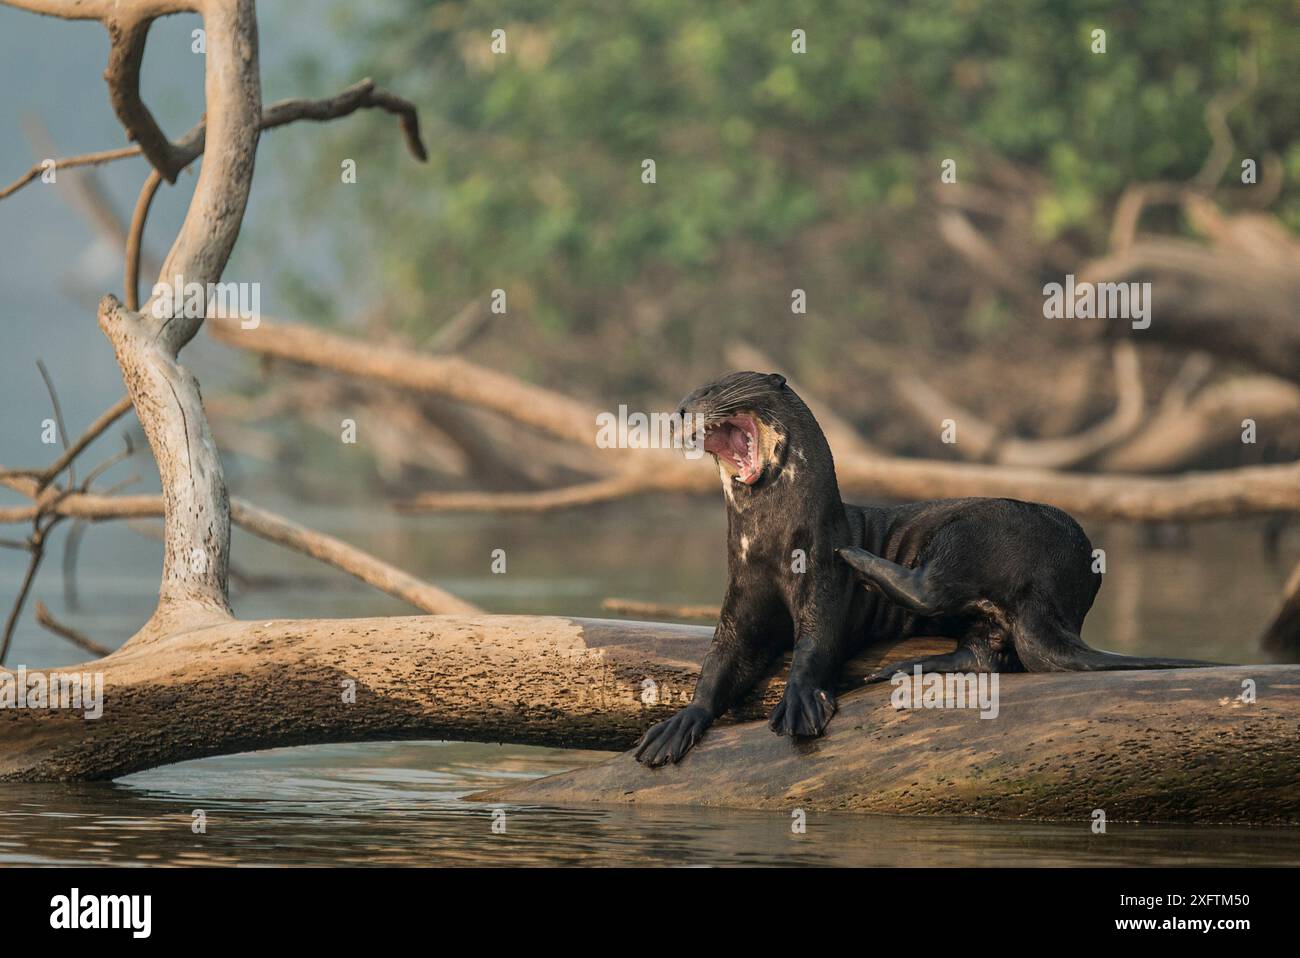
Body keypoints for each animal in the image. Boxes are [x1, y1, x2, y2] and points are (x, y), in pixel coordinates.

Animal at [634, 370, 1215, 767]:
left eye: (715, 387)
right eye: (686, 396)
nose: (681, 409)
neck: (772, 543)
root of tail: (1055, 592)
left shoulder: (818, 577)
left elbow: (817, 640)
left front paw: (799, 702)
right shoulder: (743, 592)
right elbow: (722, 658)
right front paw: (679, 723)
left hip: (973, 530)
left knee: (931, 587)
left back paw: (863, 563)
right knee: (983, 655)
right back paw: (901, 668)